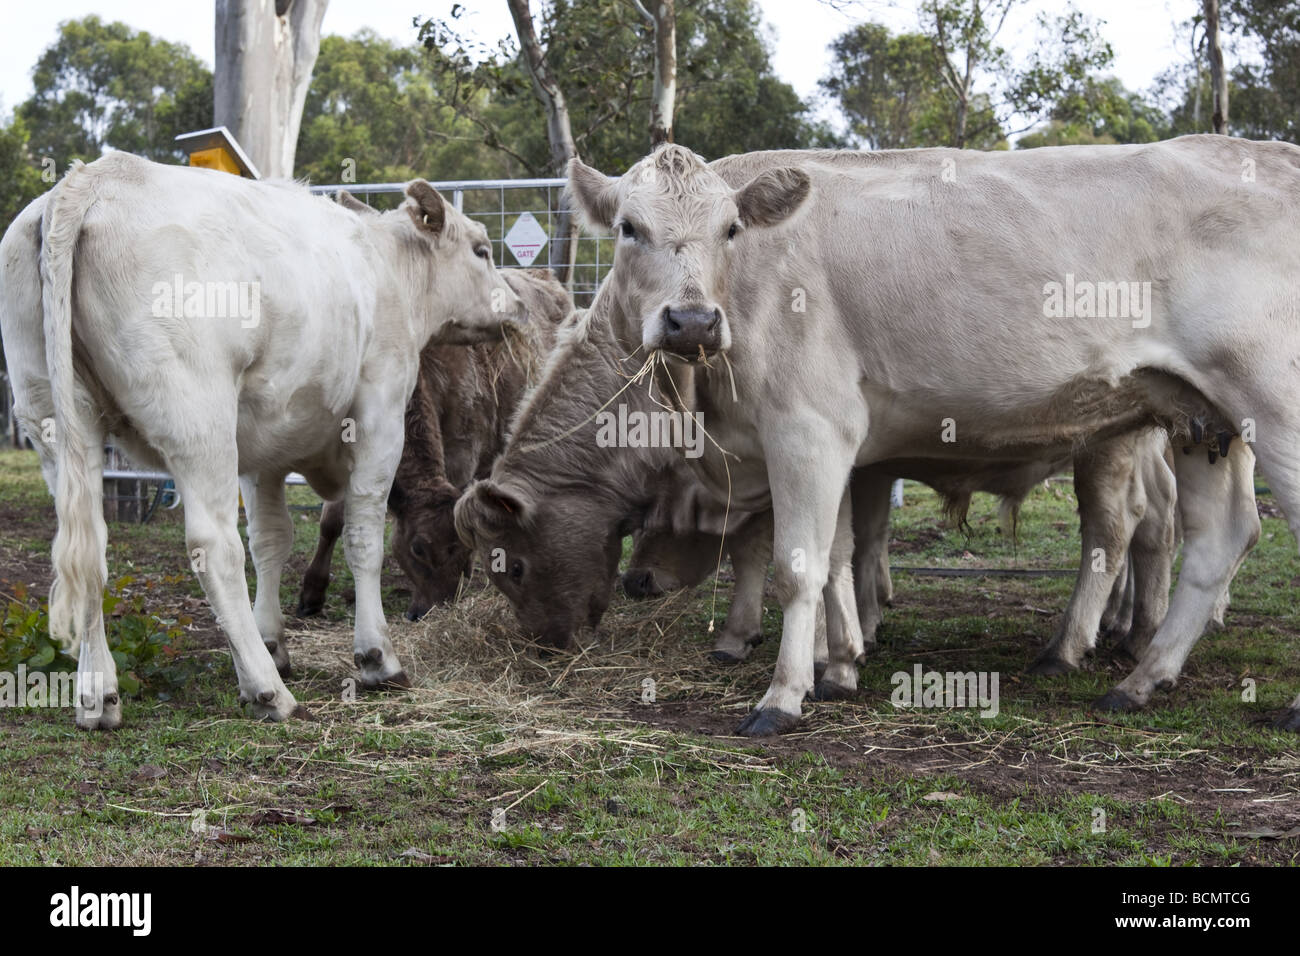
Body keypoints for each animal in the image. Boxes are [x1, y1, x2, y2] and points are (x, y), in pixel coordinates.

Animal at [0, 153, 525, 728]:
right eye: (481, 249)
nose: (518, 304)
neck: (389, 269)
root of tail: (92, 179)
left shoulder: (266, 444)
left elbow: (271, 540)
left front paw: (275, 640)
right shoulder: (381, 412)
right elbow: (363, 536)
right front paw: (375, 657)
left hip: (54, 419)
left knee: (89, 547)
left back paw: (100, 695)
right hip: (197, 417)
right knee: (214, 547)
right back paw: (266, 688)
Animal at [295, 261, 571, 623]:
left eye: (461, 550)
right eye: (417, 548)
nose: (432, 610)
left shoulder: (462, 449)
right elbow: (331, 521)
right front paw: (312, 593)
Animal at [564, 139, 1285, 735]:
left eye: (730, 229)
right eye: (629, 228)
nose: (691, 321)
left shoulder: (808, 430)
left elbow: (796, 566)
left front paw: (784, 693)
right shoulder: (851, 455)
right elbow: (844, 552)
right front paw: (841, 663)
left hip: (1255, 409)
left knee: (1130, 527)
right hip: (1201, 419)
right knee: (1217, 537)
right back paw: (1143, 677)